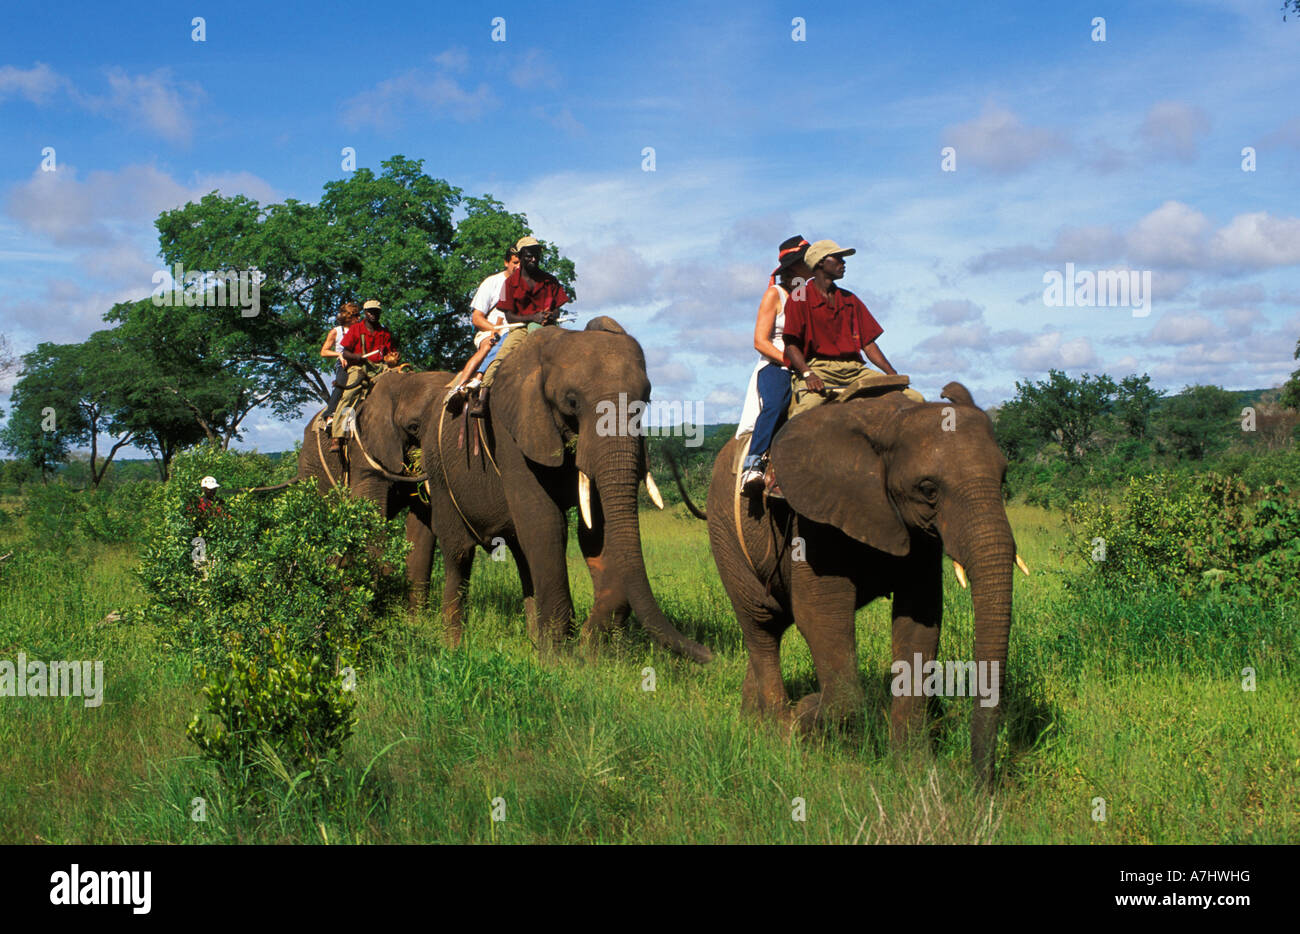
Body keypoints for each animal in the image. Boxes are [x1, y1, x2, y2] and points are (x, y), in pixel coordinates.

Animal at [295, 369, 445, 609]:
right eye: (414, 426)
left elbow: (421, 525)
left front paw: (416, 617)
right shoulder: (364, 448)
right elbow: (367, 515)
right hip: (312, 468)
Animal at [418, 316, 713, 663]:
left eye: (646, 402)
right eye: (572, 401)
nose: (710, 656)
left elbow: (596, 532)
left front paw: (588, 646)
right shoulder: (512, 431)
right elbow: (545, 522)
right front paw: (562, 659)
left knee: (523, 555)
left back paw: (535, 644)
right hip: (439, 472)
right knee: (458, 553)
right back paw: (454, 647)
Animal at [699, 381, 1021, 784]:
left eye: (1004, 478)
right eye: (928, 490)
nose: (980, 784)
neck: (893, 419)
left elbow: (920, 619)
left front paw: (912, 771)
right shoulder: (816, 516)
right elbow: (820, 617)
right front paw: (806, 716)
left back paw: (751, 724)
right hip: (724, 528)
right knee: (761, 622)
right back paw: (774, 733)